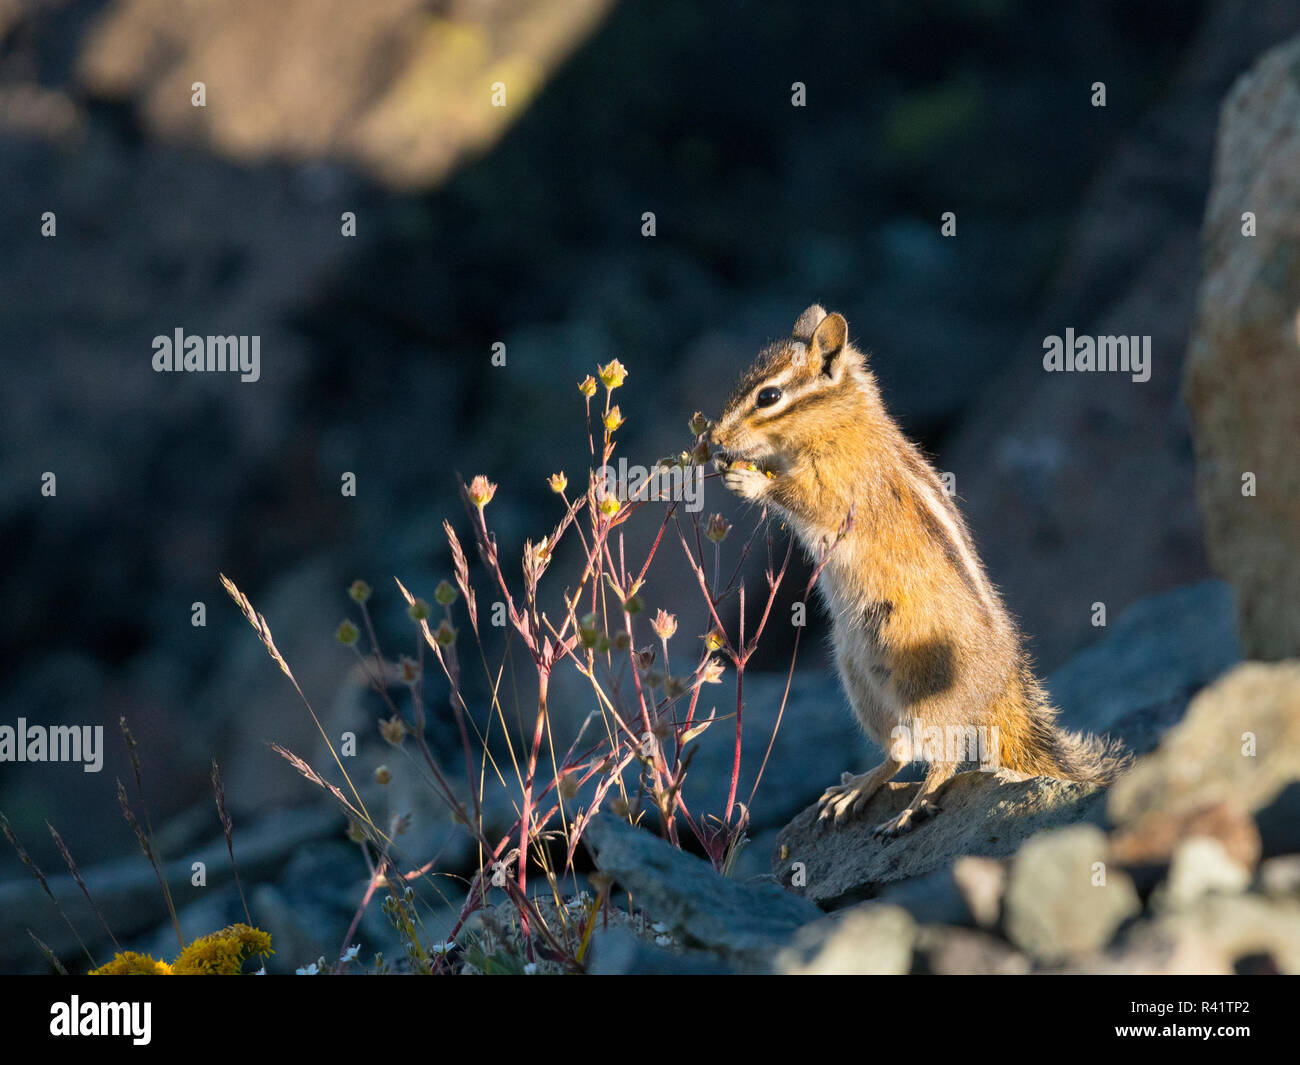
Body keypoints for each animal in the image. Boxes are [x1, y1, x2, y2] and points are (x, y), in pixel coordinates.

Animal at [709, 305, 1130, 837]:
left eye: (769, 396)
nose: (712, 438)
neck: (842, 423)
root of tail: (1001, 686)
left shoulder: (841, 485)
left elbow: (807, 499)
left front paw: (748, 481)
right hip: (861, 684)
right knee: (899, 751)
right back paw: (857, 788)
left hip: (925, 688)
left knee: (944, 758)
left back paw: (913, 808)